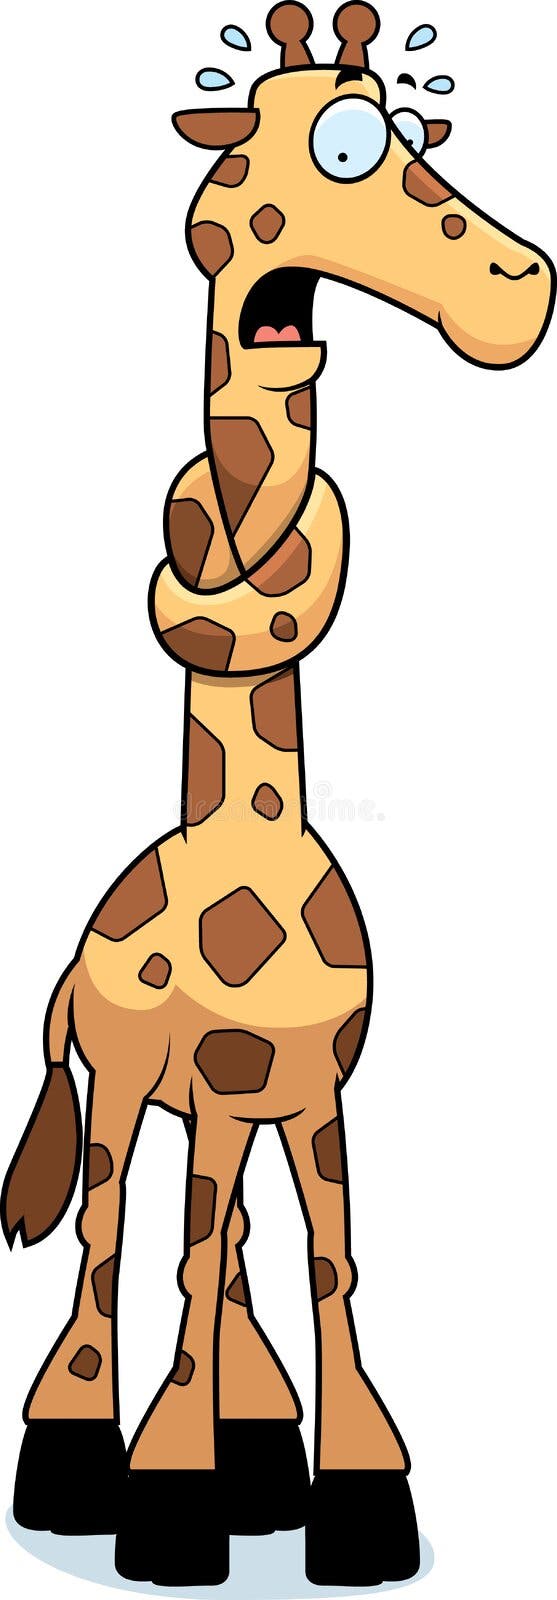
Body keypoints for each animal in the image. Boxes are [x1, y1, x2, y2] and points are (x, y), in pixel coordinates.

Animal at [2, 2, 554, 1586]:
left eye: (419, 132)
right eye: (347, 146)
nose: (519, 290)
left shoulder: (304, 1087)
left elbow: (324, 1252)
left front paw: (352, 1494)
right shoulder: (208, 1081)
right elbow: (178, 1252)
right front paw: (162, 1503)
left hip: (220, 1098)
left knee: (225, 1240)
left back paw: (256, 1452)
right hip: (122, 1077)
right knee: (111, 1228)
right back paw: (79, 1451)